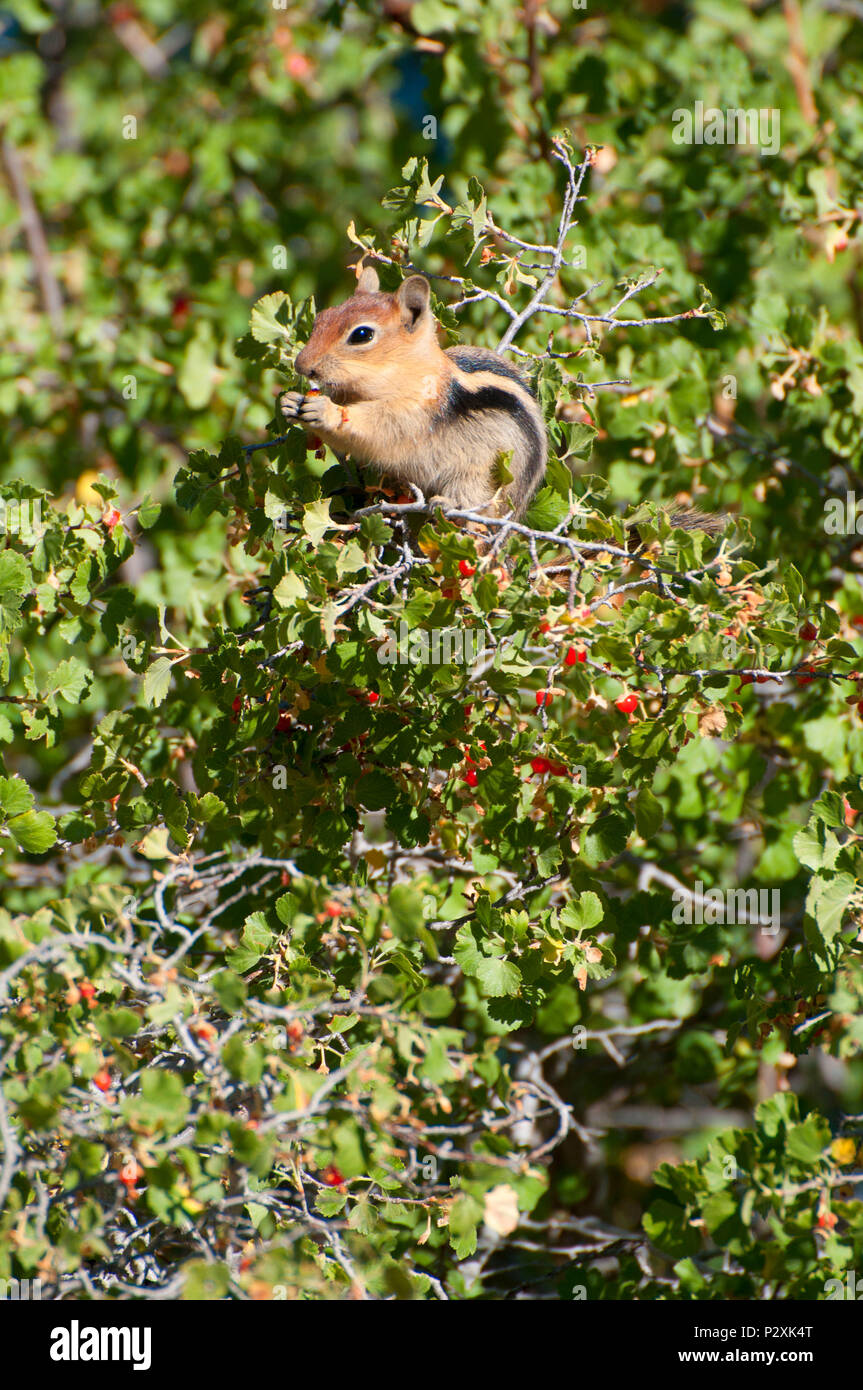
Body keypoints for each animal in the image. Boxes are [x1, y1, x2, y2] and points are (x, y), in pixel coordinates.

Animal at [280, 262, 547, 518]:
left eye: (362, 334)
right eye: (321, 318)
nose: (301, 365)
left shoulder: (412, 414)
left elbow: (375, 431)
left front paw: (326, 411)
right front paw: (290, 402)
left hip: (483, 472)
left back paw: (446, 503)